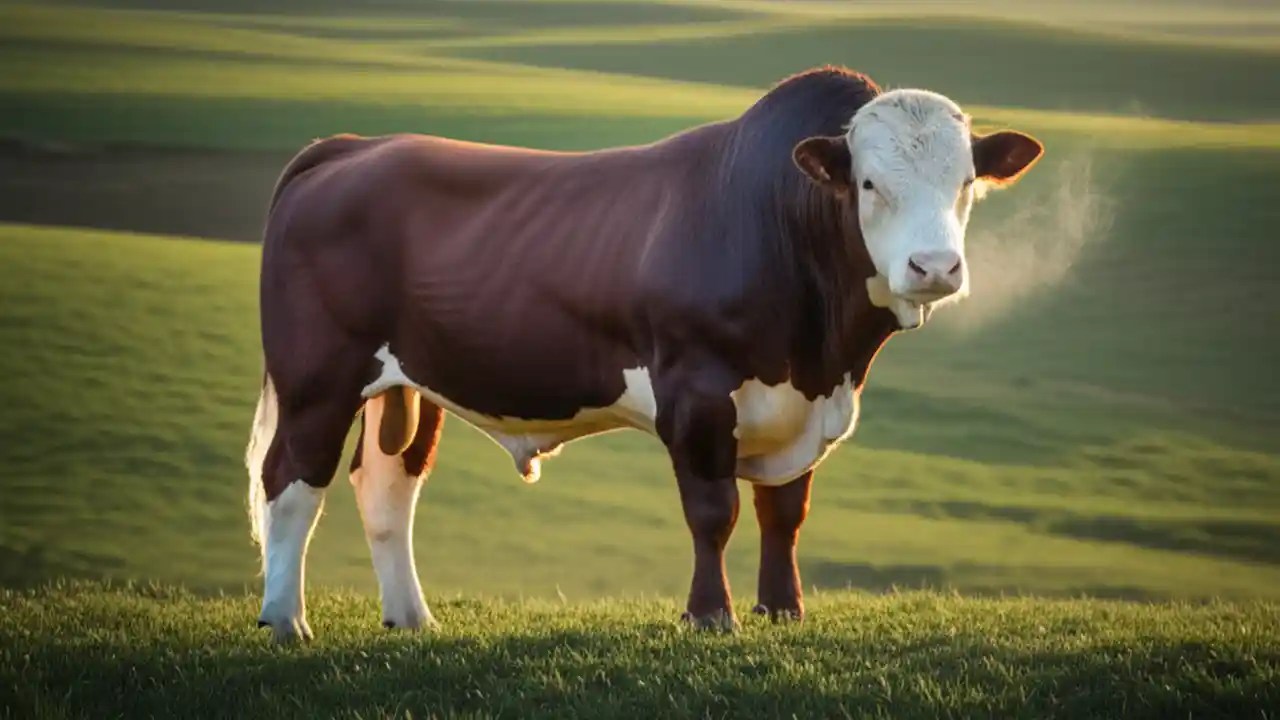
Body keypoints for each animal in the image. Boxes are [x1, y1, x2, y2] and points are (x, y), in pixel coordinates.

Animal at [246, 66, 1043, 642]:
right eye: (869, 183)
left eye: (966, 184)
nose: (934, 267)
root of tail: (353, 147)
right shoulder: (695, 391)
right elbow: (713, 511)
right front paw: (710, 615)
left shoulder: (804, 400)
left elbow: (784, 511)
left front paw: (783, 610)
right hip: (318, 377)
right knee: (291, 479)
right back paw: (286, 621)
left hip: (407, 380)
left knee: (387, 485)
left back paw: (411, 618)